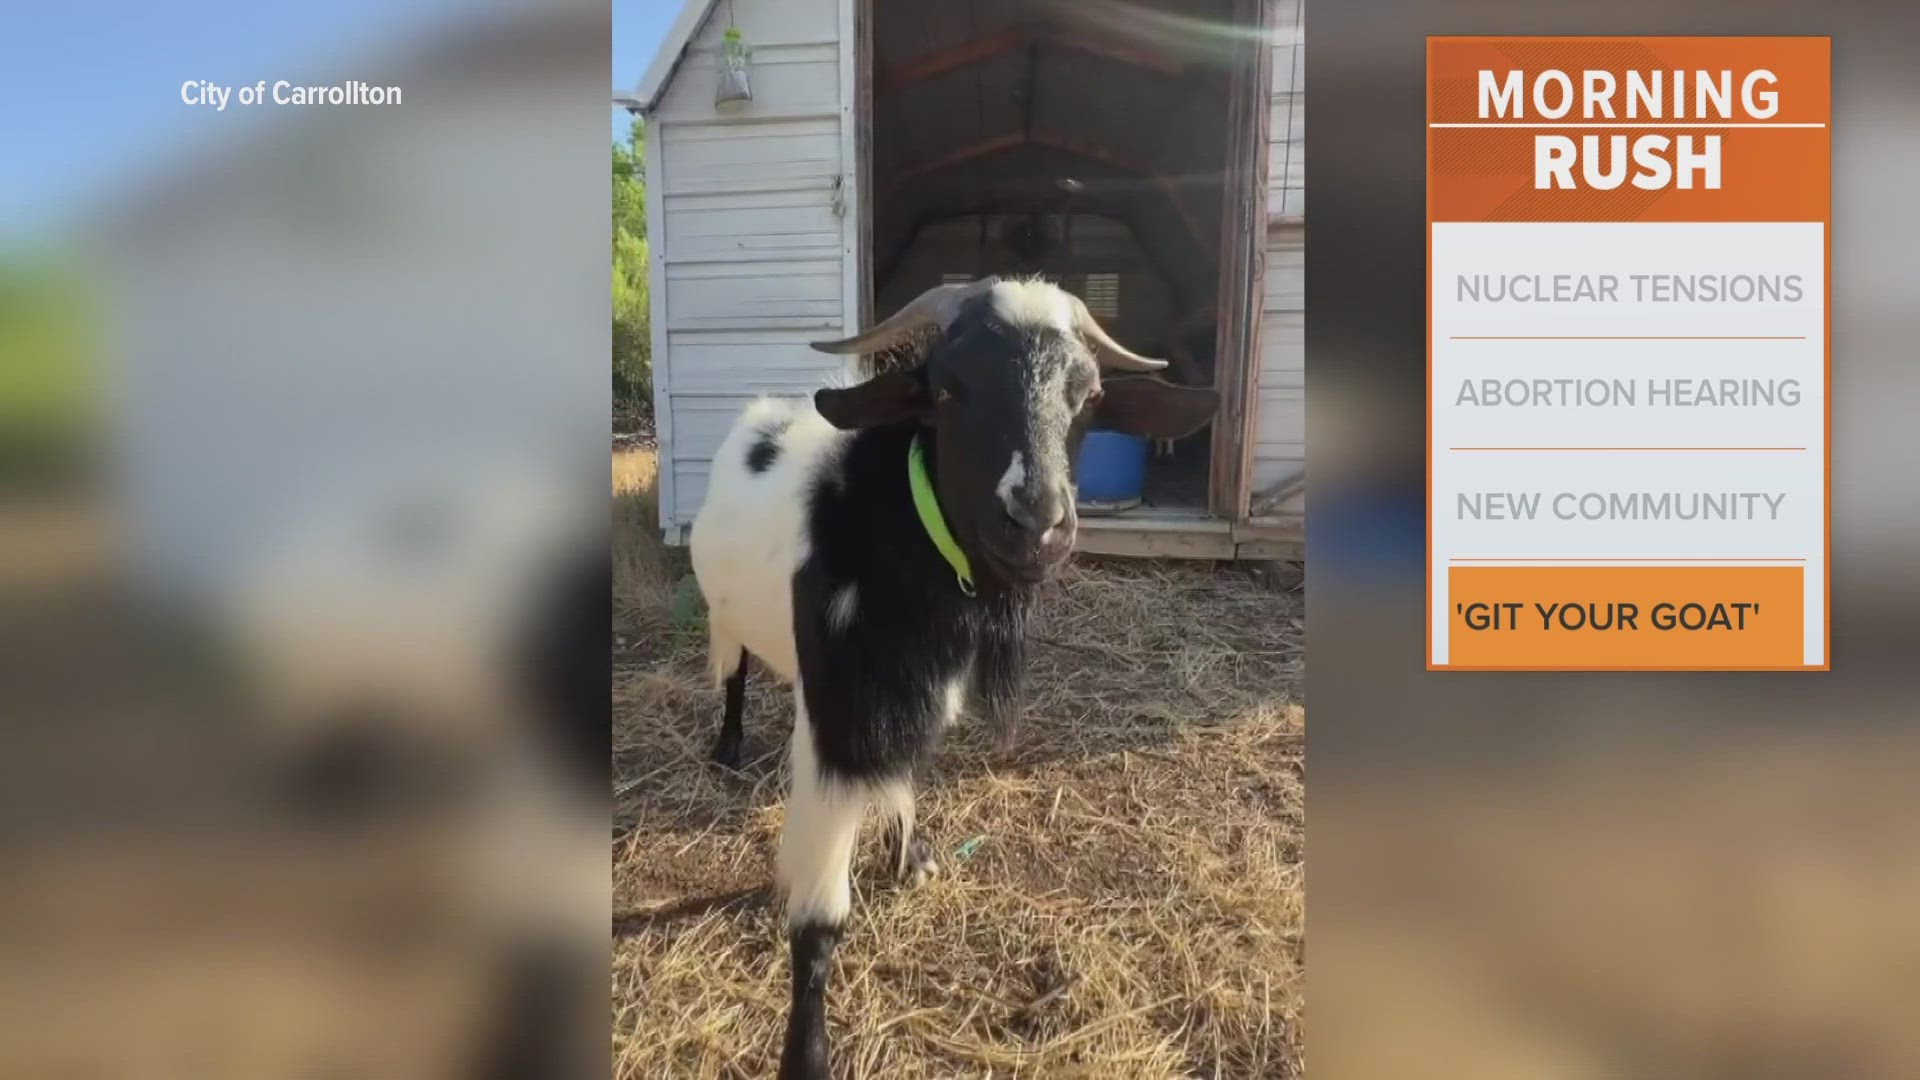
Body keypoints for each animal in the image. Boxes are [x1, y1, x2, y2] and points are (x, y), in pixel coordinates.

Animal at [689, 277, 1220, 1080]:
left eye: (1090, 394)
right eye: (945, 388)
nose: (1037, 521)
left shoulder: (917, 695)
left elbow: (904, 782)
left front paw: (908, 857)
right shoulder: (840, 728)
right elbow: (819, 920)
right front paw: (806, 1057)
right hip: (723, 621)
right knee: (733, 671)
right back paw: (726, 747)